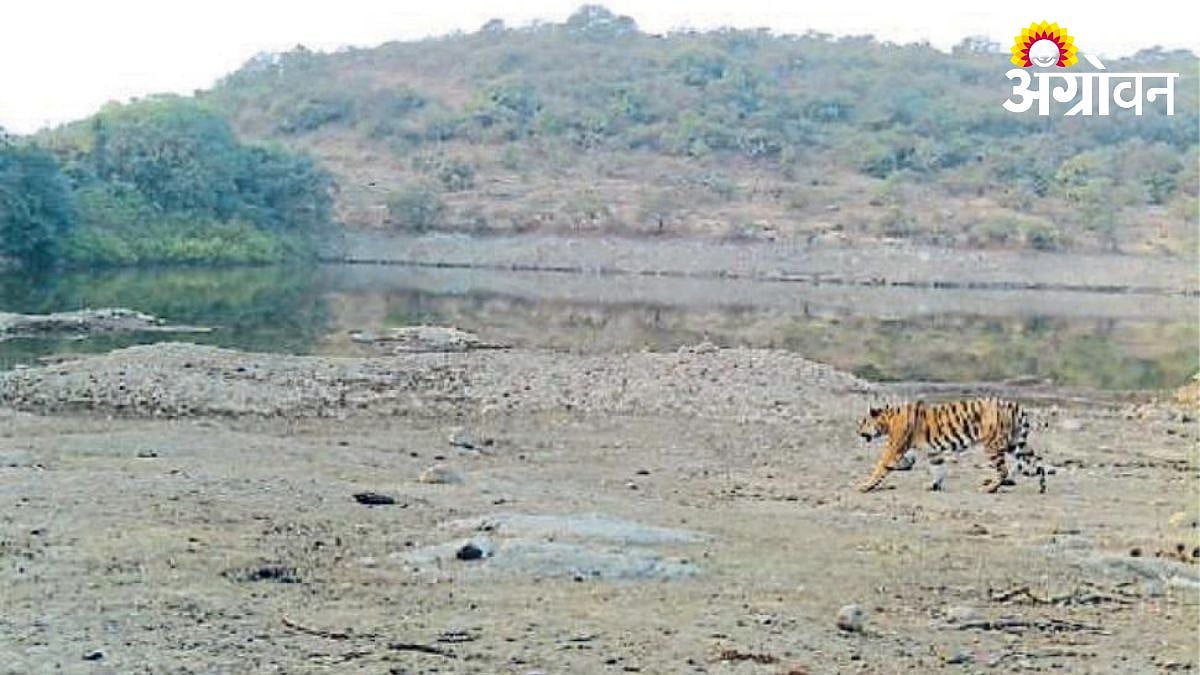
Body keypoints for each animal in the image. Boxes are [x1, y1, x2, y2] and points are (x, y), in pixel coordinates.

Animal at [855, 398, 1045, 494]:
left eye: (863, 422)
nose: (857, 431)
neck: (888, 419)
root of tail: (1013, 405)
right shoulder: (934, 453)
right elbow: (938, 469)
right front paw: (934, 485)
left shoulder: (894, 448)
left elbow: (880, 467)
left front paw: (865, 486)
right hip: (1016, 444)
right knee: (1037, 460)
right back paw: (1042, 486)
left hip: (993, 445)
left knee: (1003, 470)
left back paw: (988, 488)